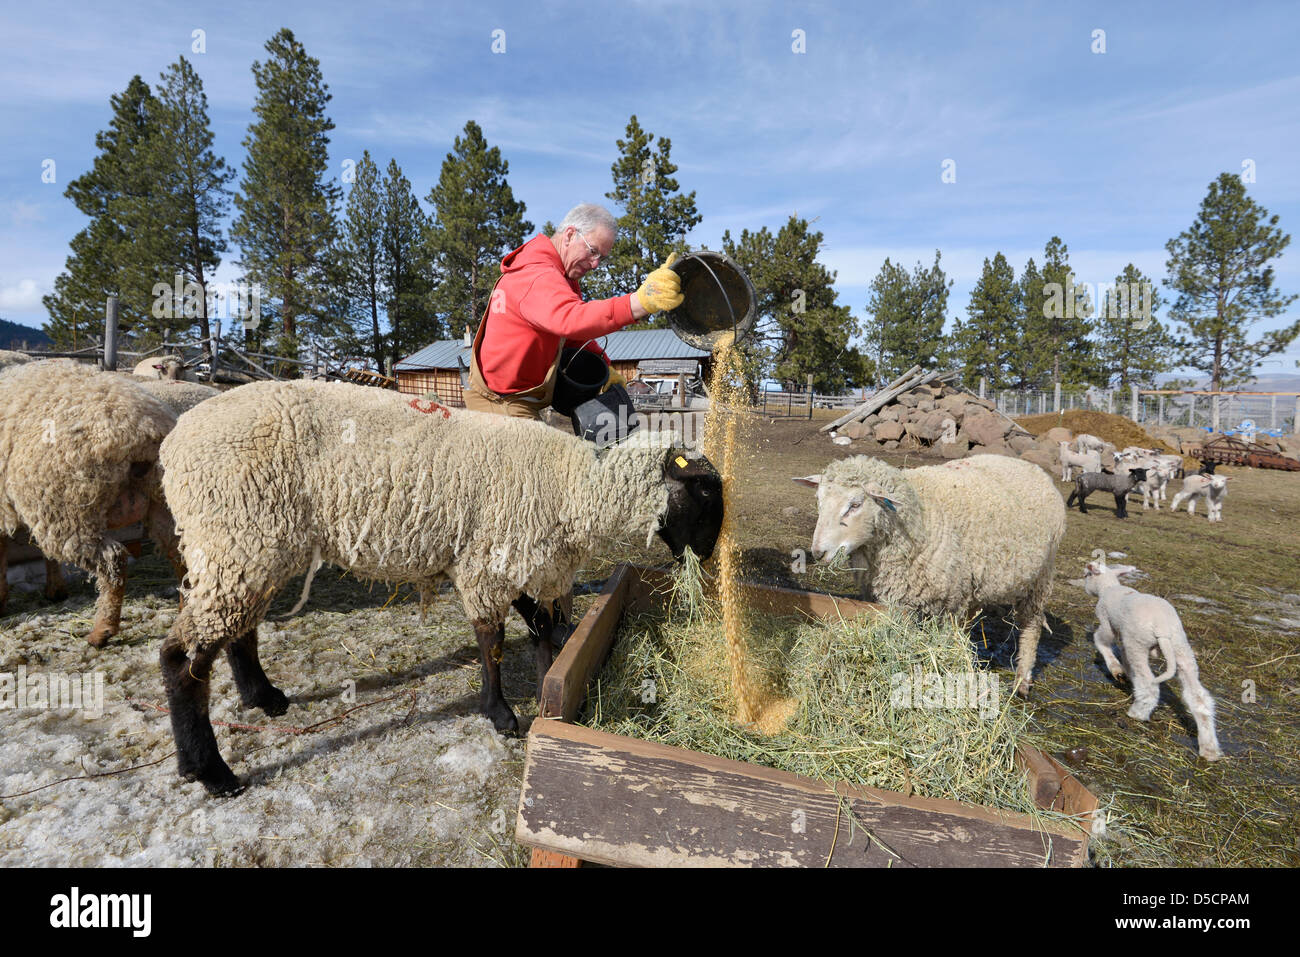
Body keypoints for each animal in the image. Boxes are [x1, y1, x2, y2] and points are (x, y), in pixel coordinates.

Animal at [0, 360, 182, 645]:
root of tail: (143, 428)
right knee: (179, 551)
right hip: (158, 499)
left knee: (113, 560)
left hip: (71, 509)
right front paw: (55, 590)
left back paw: (101, 632)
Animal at [155, 379, 724, 794]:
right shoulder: (490, 561)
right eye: (703, 488)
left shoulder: (525, 560)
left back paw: (263, 698)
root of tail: (175, 439)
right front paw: (499, 714)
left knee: (237, 630)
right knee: (181, 657)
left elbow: (543, 631)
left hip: (249, 547)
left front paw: (548, 685)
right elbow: (492, 641)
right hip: (236, 533)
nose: (710, 558)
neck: (572, 486)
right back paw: (210, 771)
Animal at [793, 454, 1066, 697]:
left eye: (855, 505)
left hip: (1040, 578)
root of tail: (1033, 467)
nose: (818, 552)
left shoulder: (949, 604)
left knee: (1031, 628)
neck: (920, 517)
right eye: (819, 500)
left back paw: (1022, 681)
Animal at [1082, 556, 1223, 760]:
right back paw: (1209, 748)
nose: (1084, 585)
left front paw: (1116, 670)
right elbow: (1125, 660)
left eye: (1086, 575)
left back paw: (1137, 713)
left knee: (1149, 685)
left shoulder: (1108, 624)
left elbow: (1101, 641)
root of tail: (1162, 627)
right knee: (1198, 698)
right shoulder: (1124, 638)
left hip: (1138, 643)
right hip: (1181, 648)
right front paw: (1126, 674)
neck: (1108, 587)